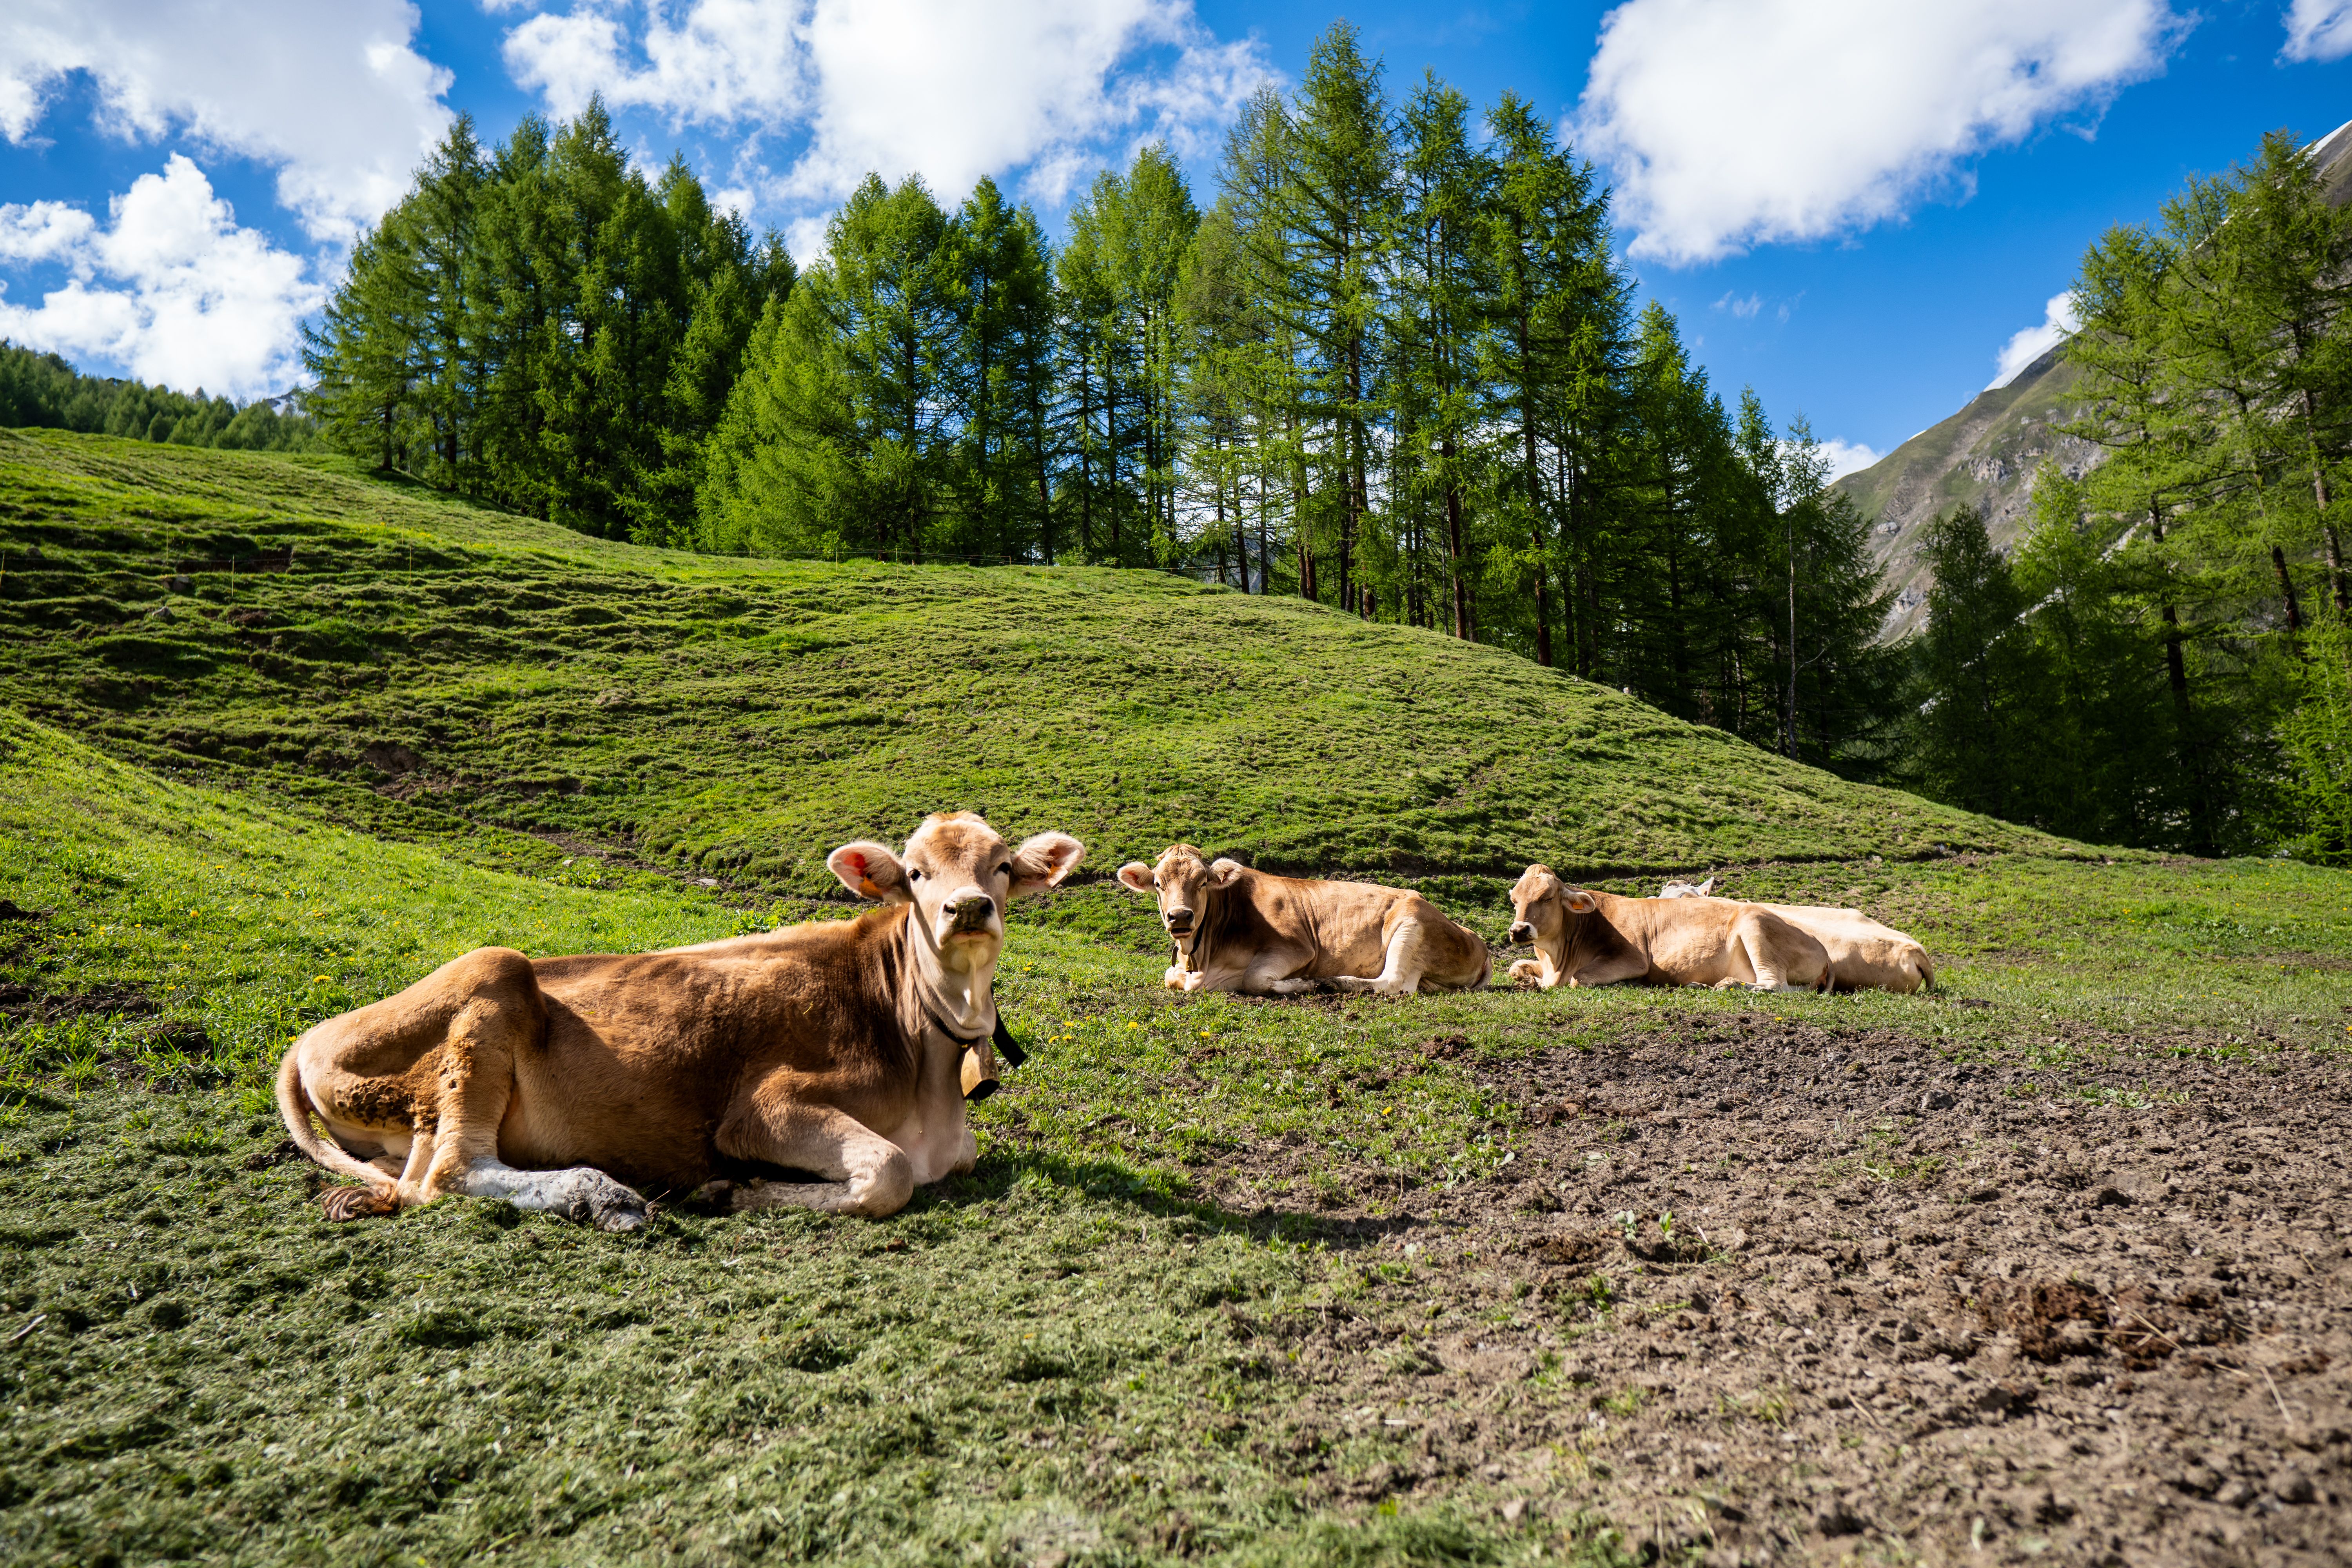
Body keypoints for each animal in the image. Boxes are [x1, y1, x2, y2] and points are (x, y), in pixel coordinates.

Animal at [274, 813, 1085, 1228]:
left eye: (1002, 868)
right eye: (915, 874)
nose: (968, 909)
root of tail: (308, 1038)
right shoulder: (760, 1109)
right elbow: (888, 1174)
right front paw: (735, 1190)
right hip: (488, 982)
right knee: (449, 1173)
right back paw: (599, 1197)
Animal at [1114, 845, 1490, 996]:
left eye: (1203, 882)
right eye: (1159, 884)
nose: (1180, 916)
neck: (1204, 956)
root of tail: (1478, 941)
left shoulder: (1297, 947)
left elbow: (1254, 980)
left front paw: (1303, 984)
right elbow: (1170, 977)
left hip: (1410, 923)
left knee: (1395, 982)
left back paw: (1335, 983)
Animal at [1504, 864, 1832, 992]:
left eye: (1547, 898)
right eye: (1514, 900)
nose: (1519, 930)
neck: (1558, 959)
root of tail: (1825, 953)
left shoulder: (1634, 958)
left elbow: (1578, 979)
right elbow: (1515, 966)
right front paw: (1530, 978)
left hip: (1755, 926)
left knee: (1776, 985)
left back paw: (1727, 984)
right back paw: (1701, 985)